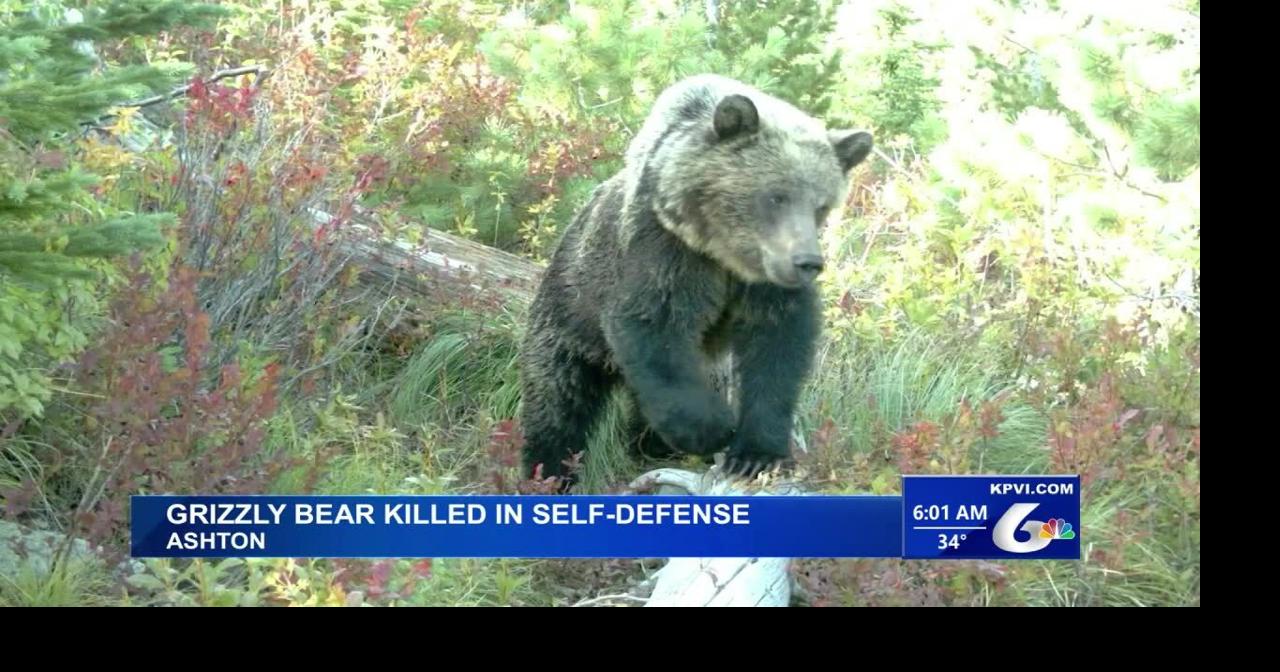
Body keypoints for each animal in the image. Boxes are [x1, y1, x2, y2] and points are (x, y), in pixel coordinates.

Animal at [518, 74, 872, 485]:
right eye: (776, 196)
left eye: (821, 206)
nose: (807, 262)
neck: (723, 254)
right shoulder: (665, 249)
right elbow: (655, 325)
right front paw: (713, 428)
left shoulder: (763, 285)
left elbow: (777, 351)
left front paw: (756, 453)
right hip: (570, 318)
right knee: (558, 400)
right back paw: (548, 470)